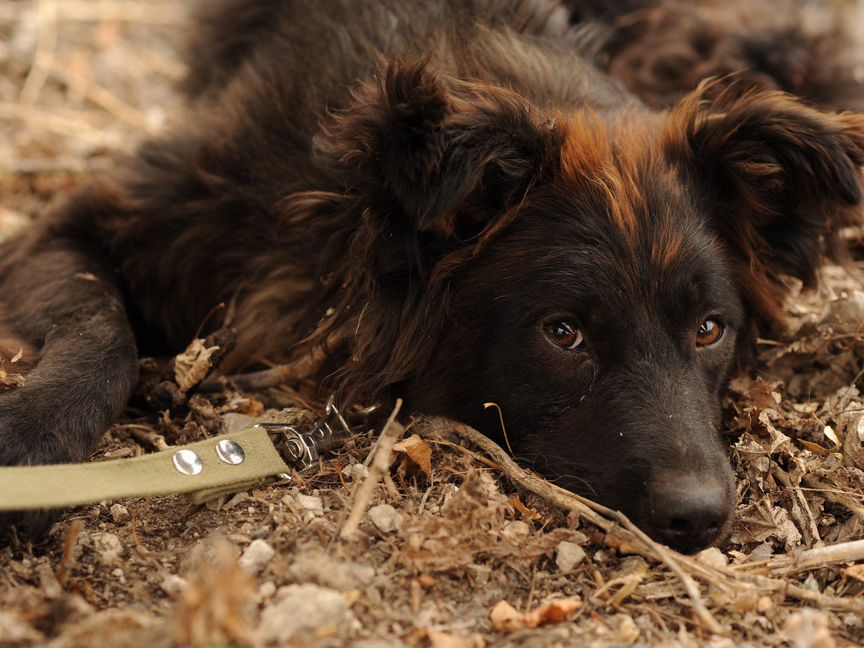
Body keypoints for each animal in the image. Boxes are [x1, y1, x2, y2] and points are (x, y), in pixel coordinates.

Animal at [1, 0, 864, 552]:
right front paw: (36, 441)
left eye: (711, 329)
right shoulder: (104, 219)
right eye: (563, 333)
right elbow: (98, 330)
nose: (701, 518)